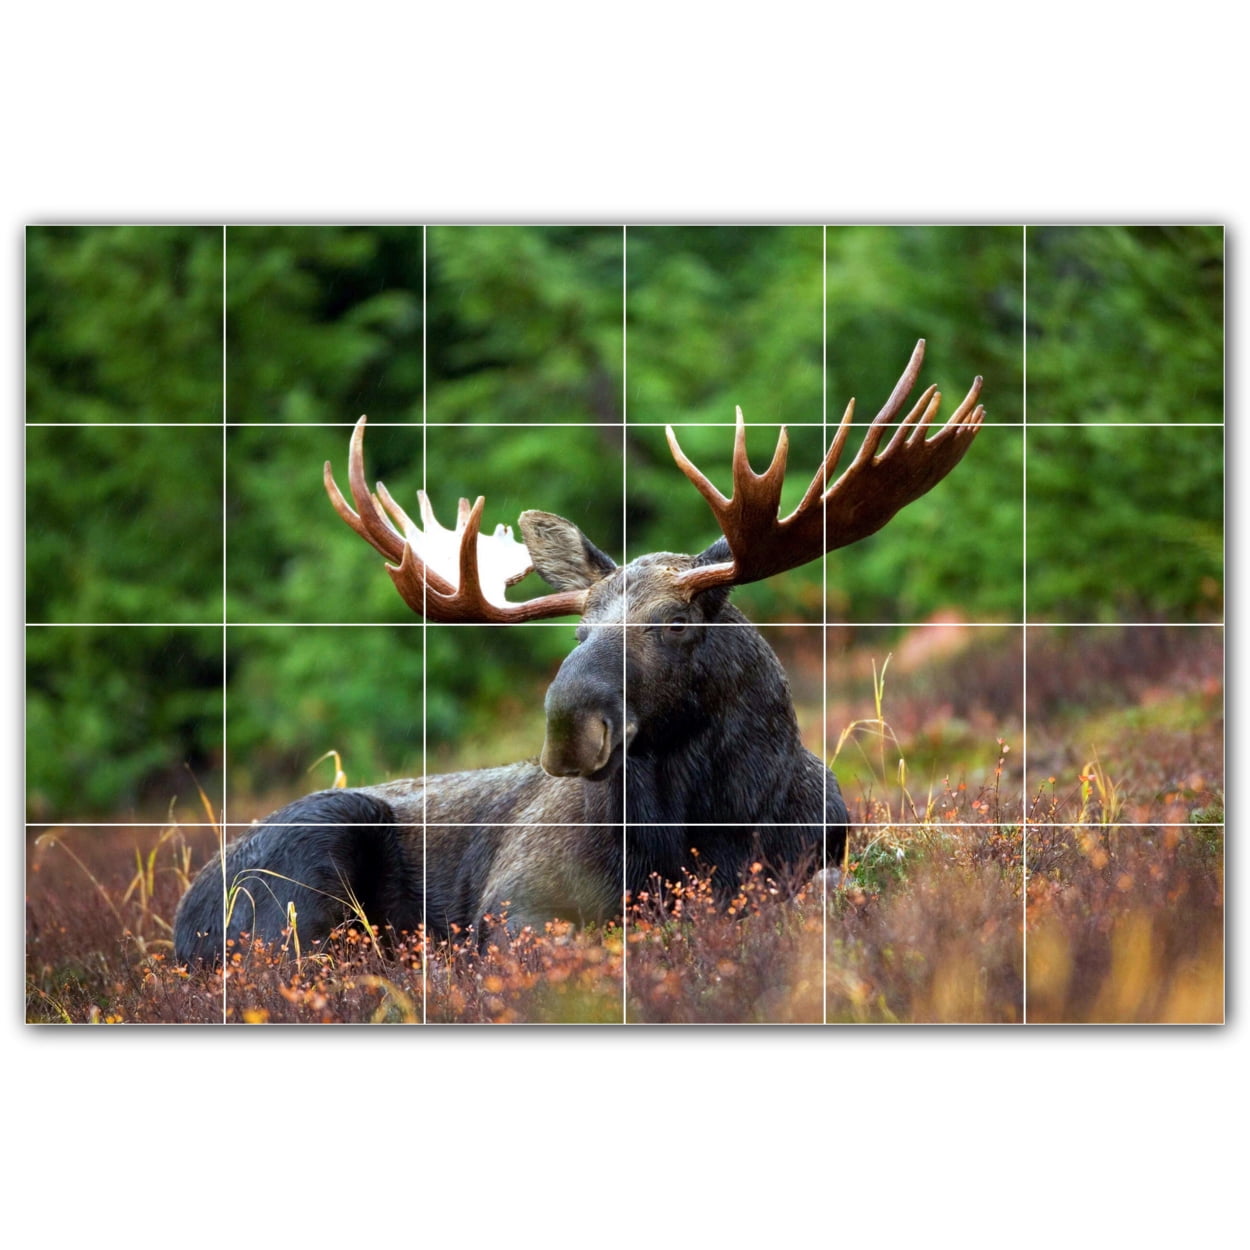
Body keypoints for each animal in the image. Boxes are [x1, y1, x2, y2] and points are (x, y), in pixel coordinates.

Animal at [173, 340, 983, 964]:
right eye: (578, 631)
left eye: (675, 623)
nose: (569, 727)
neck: (708, 825)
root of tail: (181, 923)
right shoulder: (516, 902)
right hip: (309, 860)